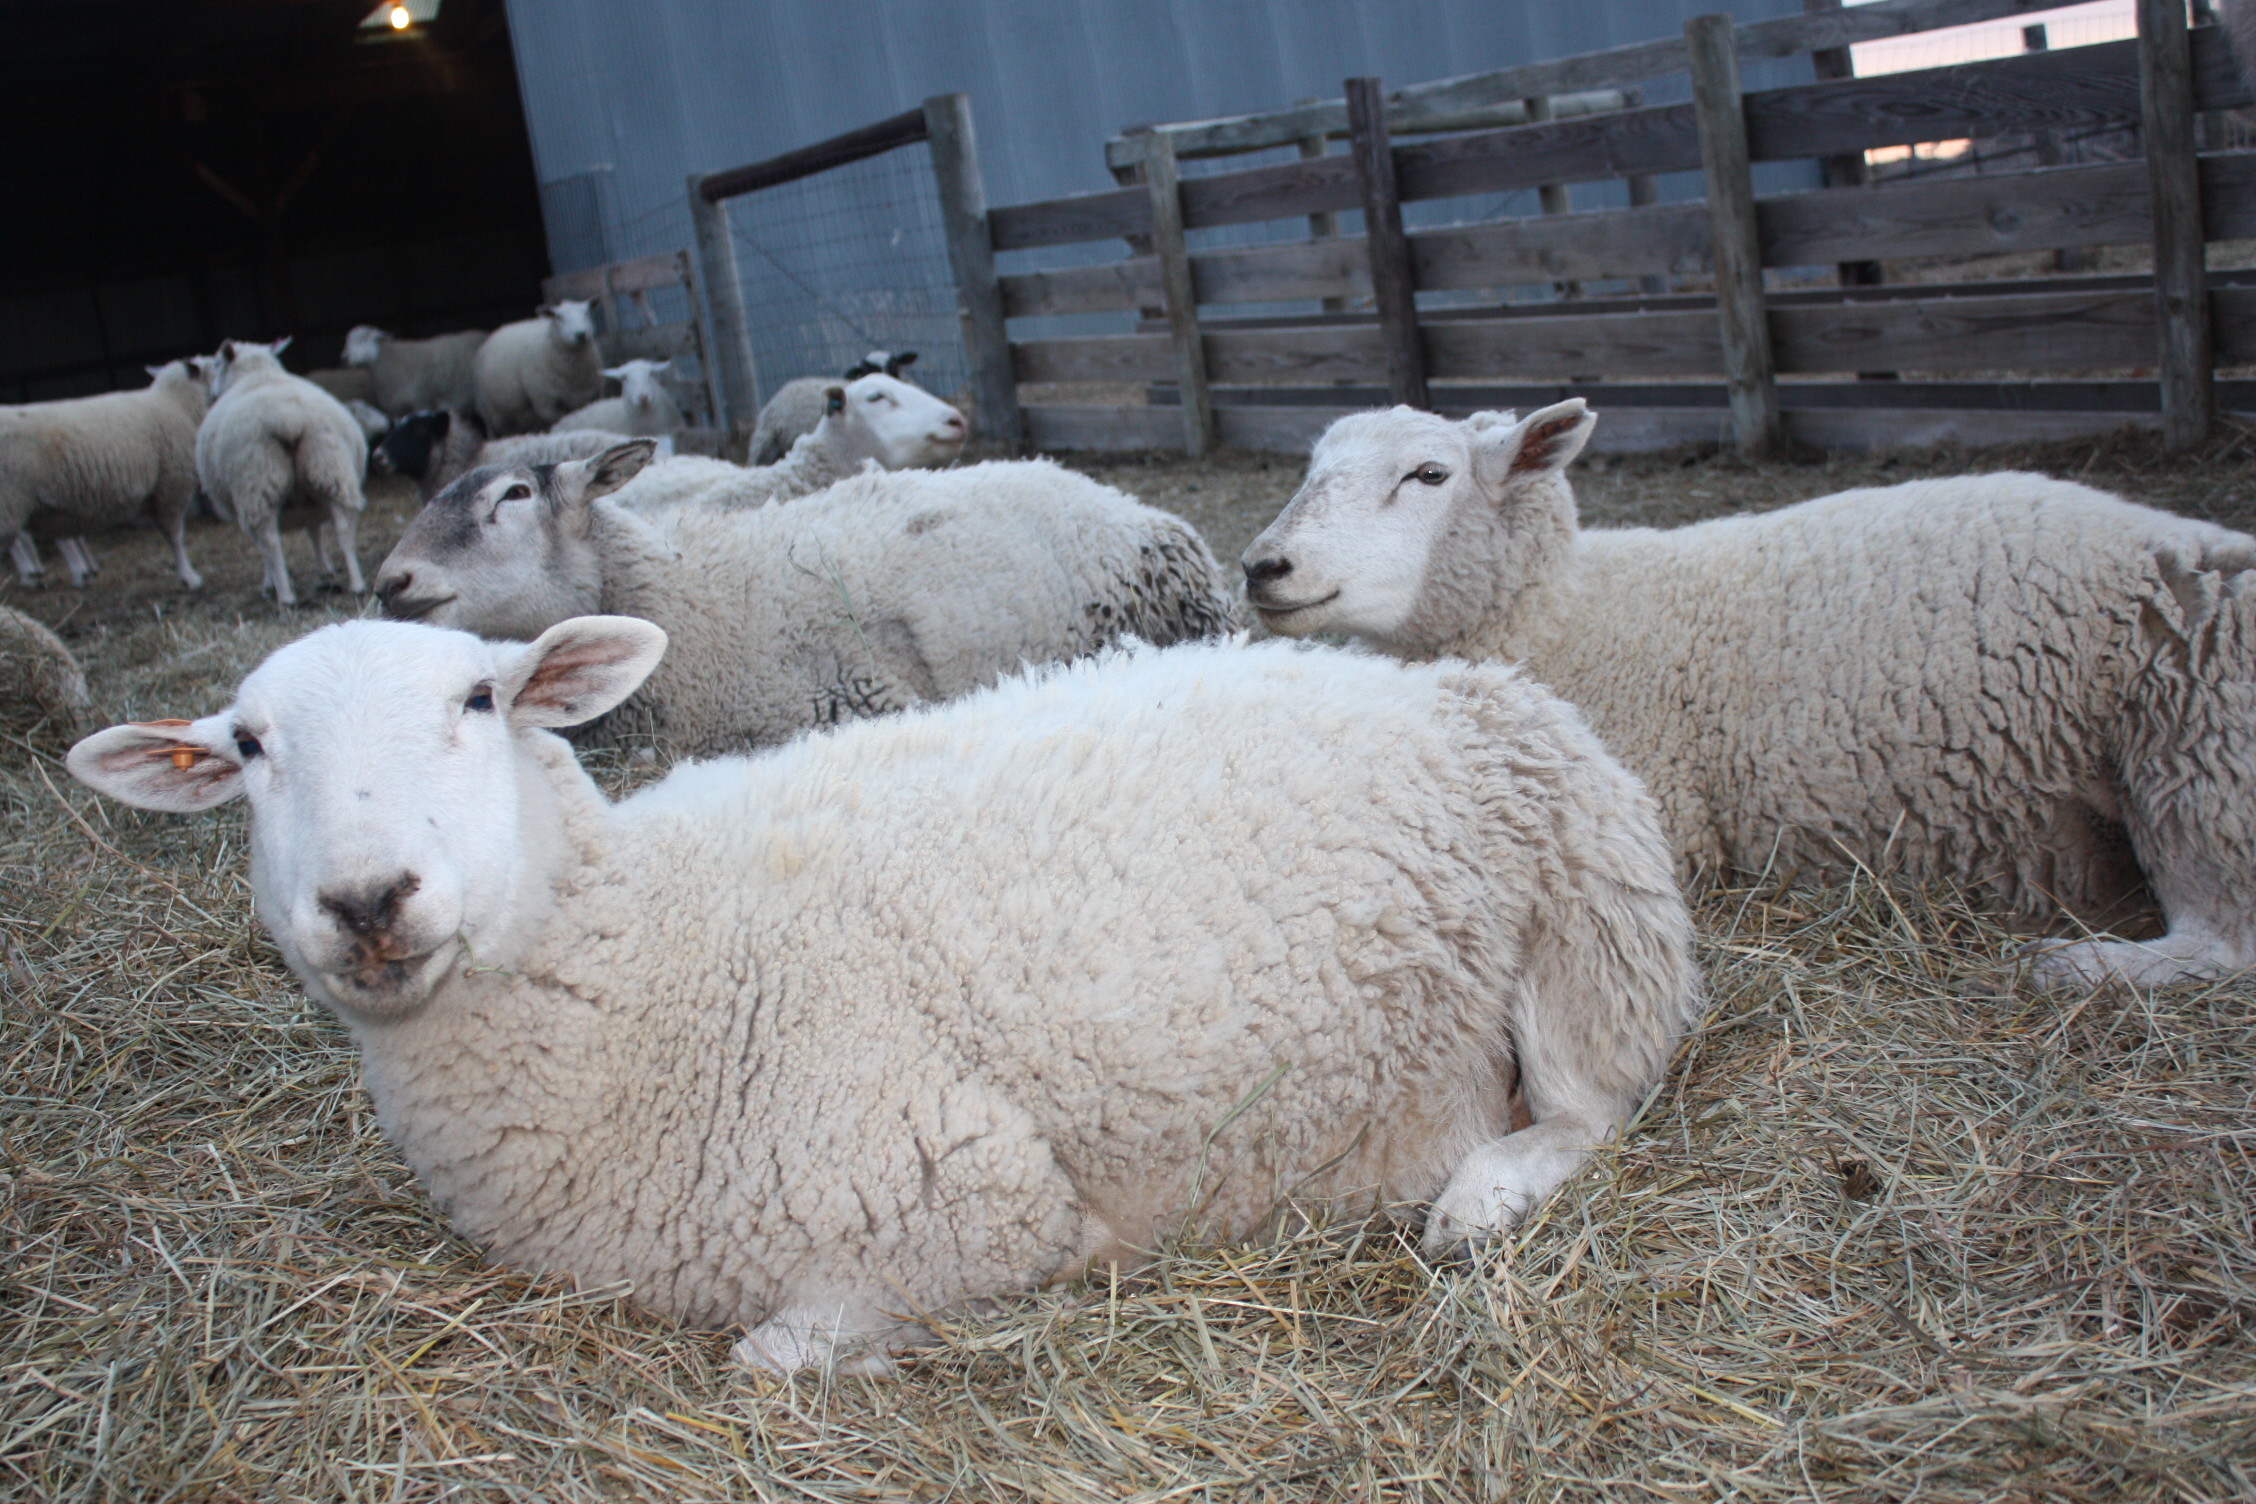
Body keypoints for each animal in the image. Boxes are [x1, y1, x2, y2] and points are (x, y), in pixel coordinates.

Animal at [66, 614, 1700, 1373]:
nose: (366, 900)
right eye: (248, 747)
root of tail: (1448, 682)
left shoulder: (966, 1191)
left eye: (480, 697)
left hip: (1590, 918)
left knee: (1593, 1105)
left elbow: (771, 1358)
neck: (652, 954)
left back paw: (1479, 1195)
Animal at [196, 338, 368, 605]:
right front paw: (325, 572)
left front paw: (270, 584)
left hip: (256, 482)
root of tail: (288, 418)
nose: (212, 392)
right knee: (344, 527)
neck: (259, 374)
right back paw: (357, 584)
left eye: (216, 363)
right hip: (331, 468)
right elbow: (314, 531)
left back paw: (285, 596)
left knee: (270, 541)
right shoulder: (309, 501)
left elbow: (263, 548)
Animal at [471, 301, 603, 437]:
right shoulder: (545, 403)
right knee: (491, 428)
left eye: (586, 312)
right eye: (558, 317)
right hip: (486, 409)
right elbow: (561, 419)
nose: (581, 334)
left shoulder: (592, 395)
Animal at [1243, 400, 2256, 991]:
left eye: (1430, 475)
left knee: (2221, 939)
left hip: (2197, 754)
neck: (1569, 616)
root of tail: (2214, 544)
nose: (1263, 566)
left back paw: (2074, 965)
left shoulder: (1656, 819)